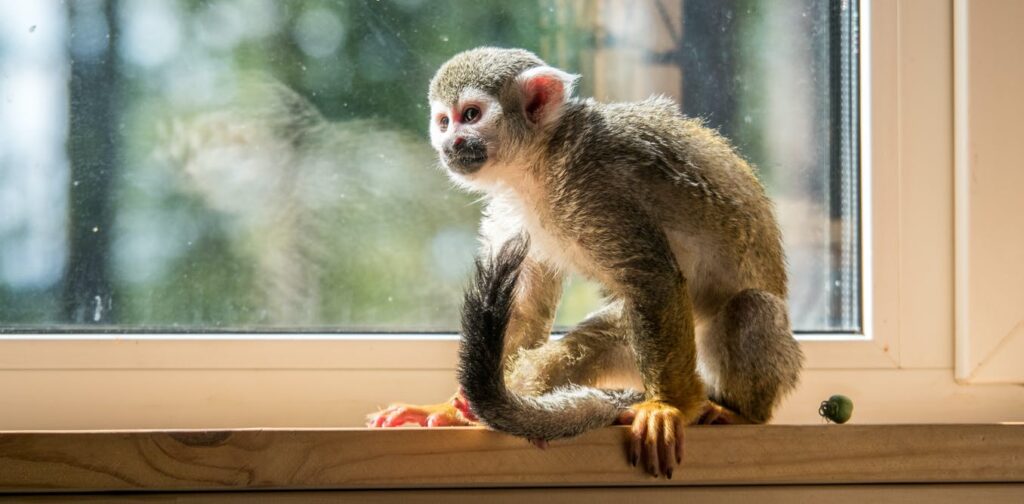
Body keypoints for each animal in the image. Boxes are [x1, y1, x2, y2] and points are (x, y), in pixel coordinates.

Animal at [367, 47, 803, 478]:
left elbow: (654, 278)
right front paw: (454, 409)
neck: (540, 160)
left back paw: (737, 411)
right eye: (443, 121)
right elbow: (523, 308)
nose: (450, 142)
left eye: (470, 115)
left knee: (750, 307)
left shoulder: (597, 186)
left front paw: (668, 406)